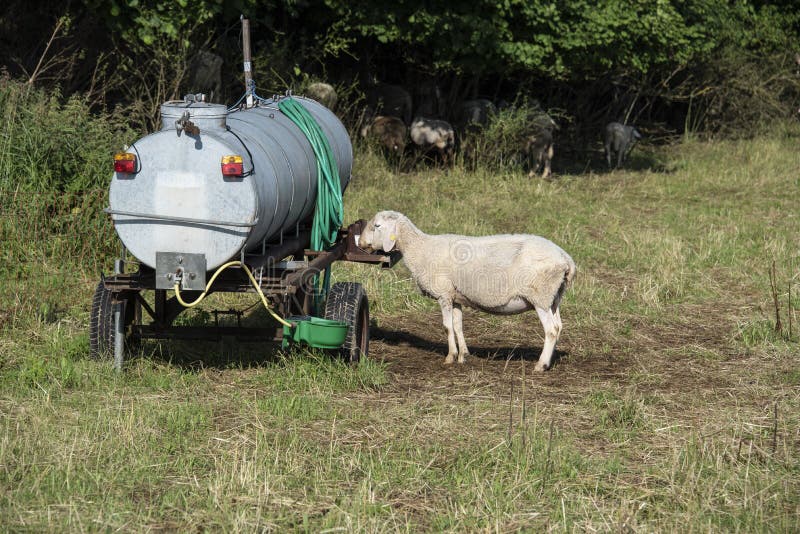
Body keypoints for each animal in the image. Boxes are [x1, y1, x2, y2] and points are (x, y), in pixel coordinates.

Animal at [357, 211, 576, 371]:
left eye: (377, 226)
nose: (361, 243)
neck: (420, 249)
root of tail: (565, 258)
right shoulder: (456, 296)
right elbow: (458, 326)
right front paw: (463, 355)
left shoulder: (444, 293)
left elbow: (447, 327)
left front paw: (450, 357)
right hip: (554, 297)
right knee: (559, 327)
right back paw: (549, 360)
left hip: (540, 296)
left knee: (551, 330)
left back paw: (541, 364)